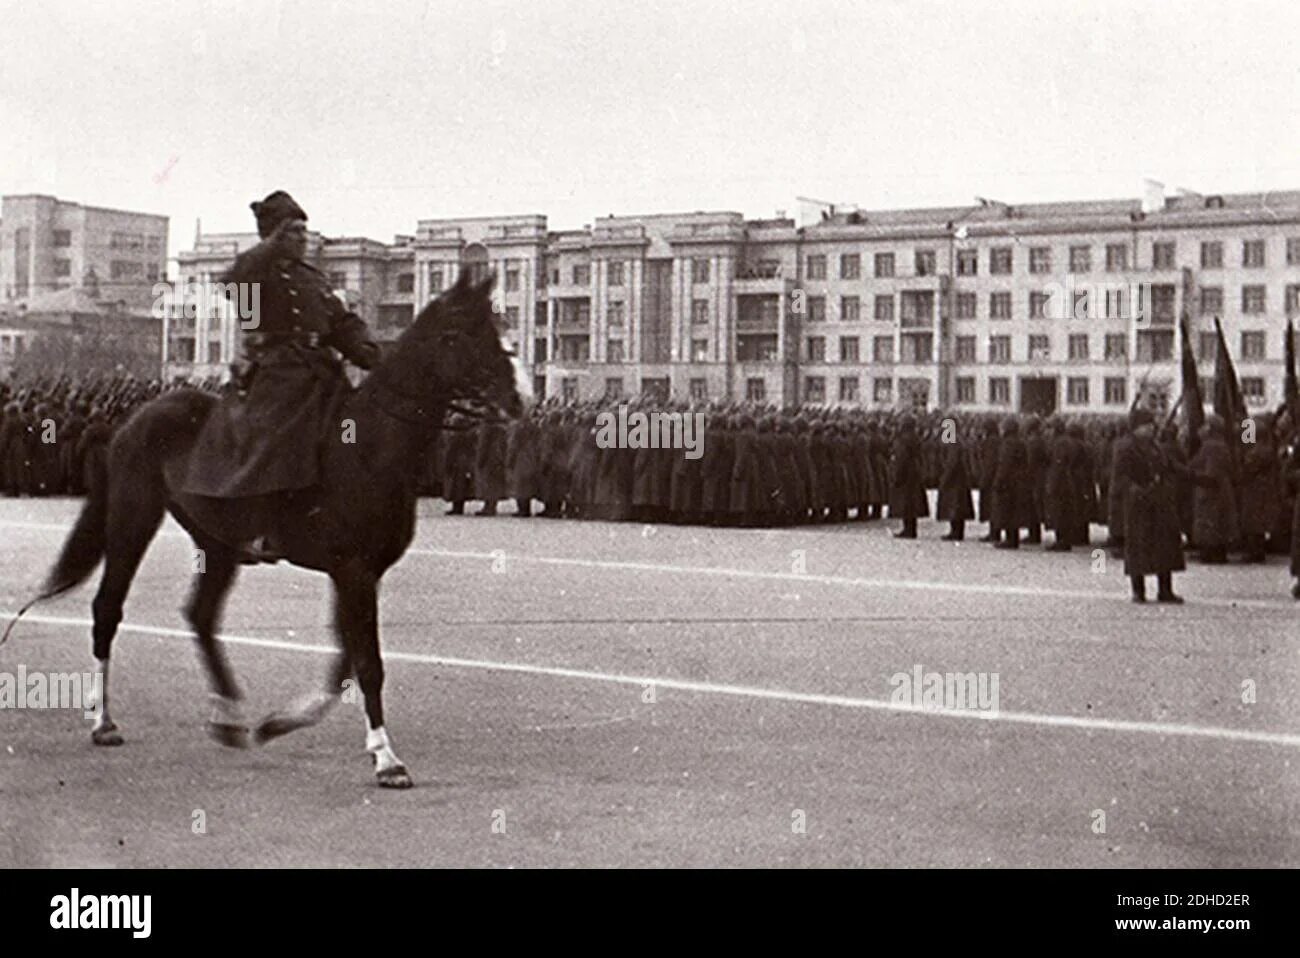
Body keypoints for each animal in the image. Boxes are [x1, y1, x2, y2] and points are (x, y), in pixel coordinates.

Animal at [26, 269, 522, 785]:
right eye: (459, 334)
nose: (518, 398)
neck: (371, 445)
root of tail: (130, 422)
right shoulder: (354, 571)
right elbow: (367, 662)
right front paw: (387, 758)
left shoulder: (359, 573)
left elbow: (344, 659)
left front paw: (283, 721)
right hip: (132, 519)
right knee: (108, 606)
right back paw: (103, 721)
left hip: (218, 543)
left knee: (200, 616)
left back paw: (227, 716)